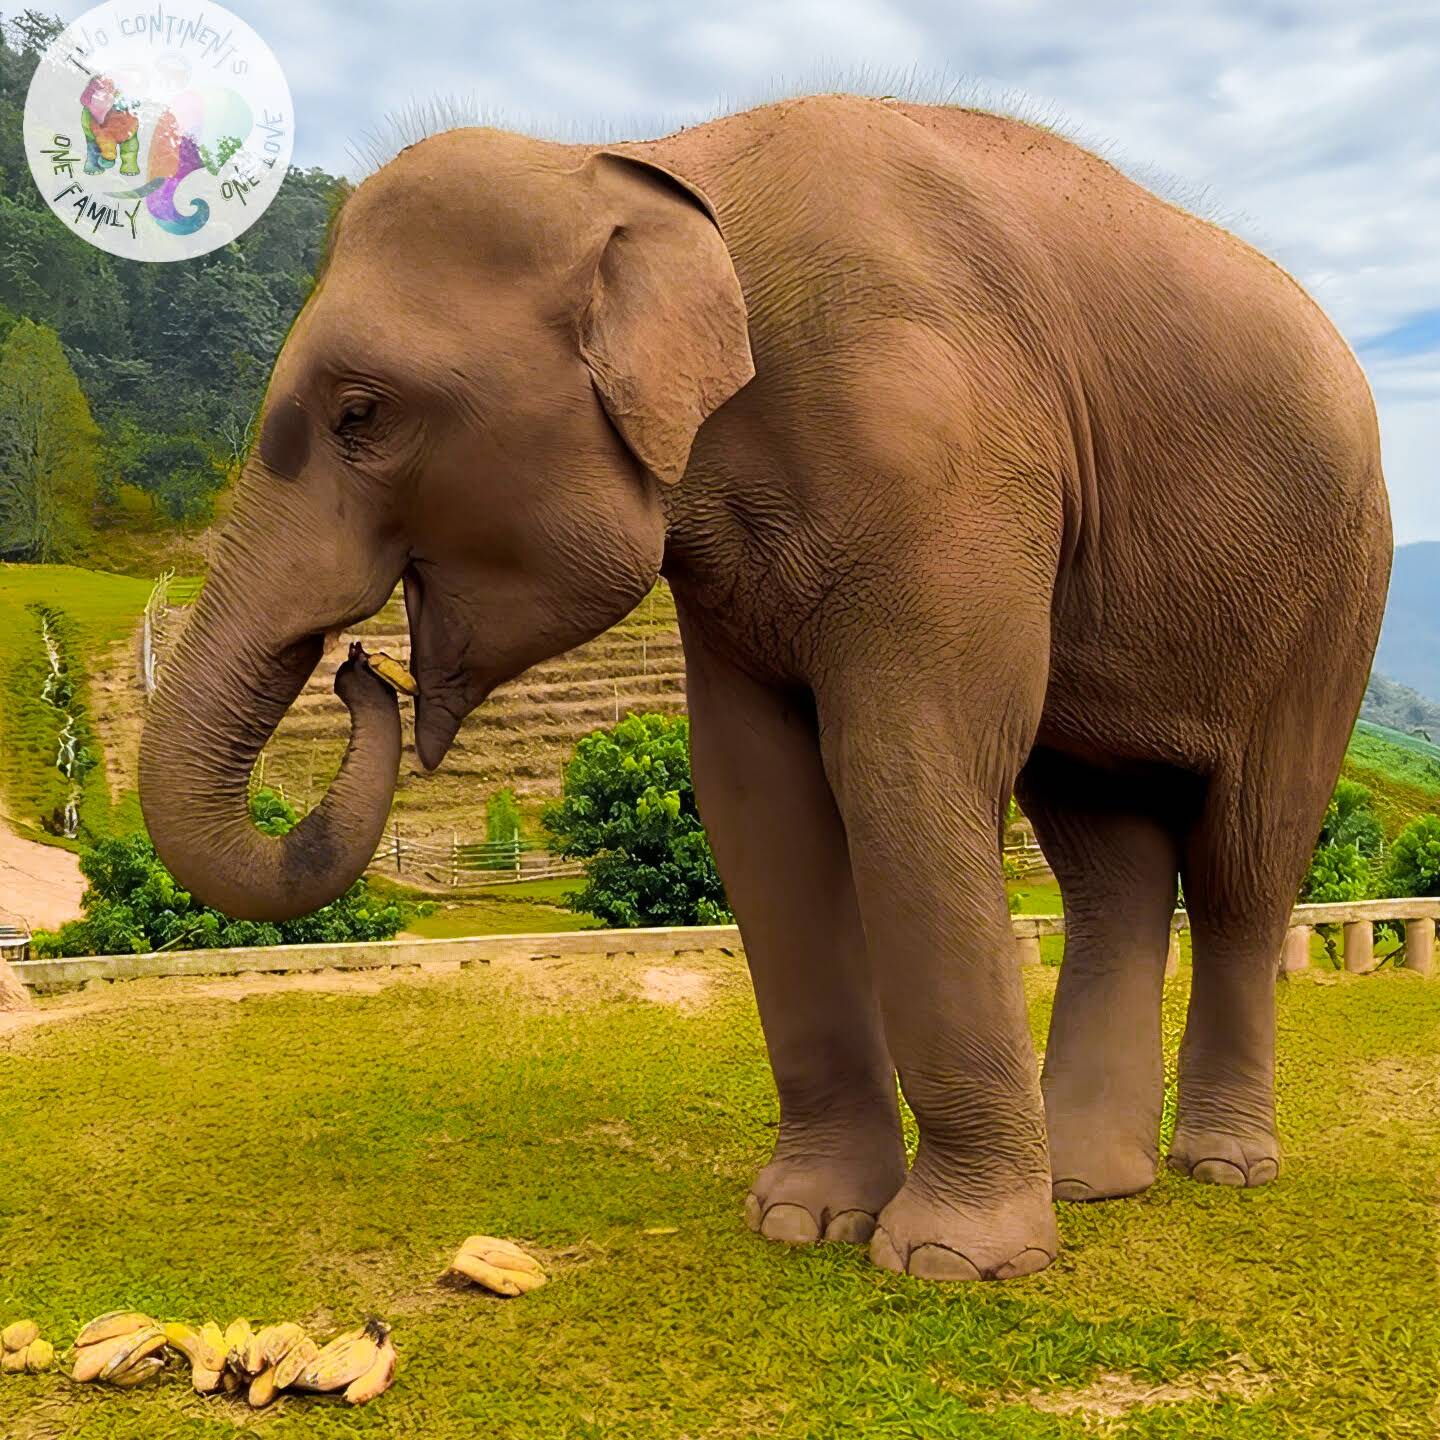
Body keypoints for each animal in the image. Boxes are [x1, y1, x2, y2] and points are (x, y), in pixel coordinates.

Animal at [138, 94, 1391, 1282]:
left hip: (1339, 594)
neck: (654, 157)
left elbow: (906, 763)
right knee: (1107, 861)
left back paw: (1223, 1169)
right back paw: (1092, 1183)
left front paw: (952, 1262)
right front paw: (802, 1224)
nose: (363, 669)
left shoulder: (947, 463)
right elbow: (757, 800)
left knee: (1245, 861)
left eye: (362, 414)